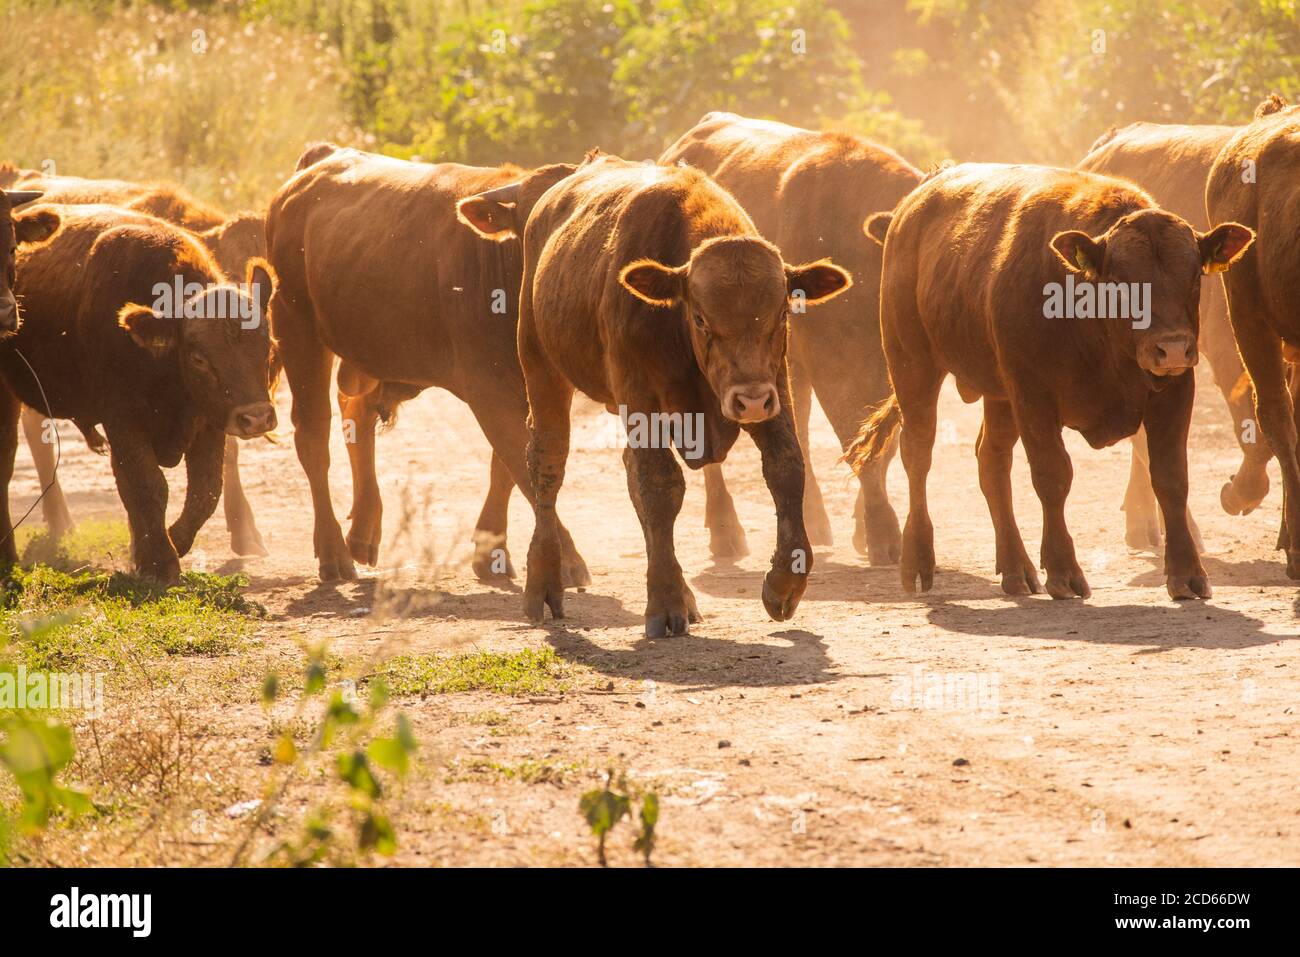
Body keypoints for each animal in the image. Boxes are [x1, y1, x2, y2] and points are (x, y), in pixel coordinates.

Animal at [0, 205, 277, 581]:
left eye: (267, 347)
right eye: (199, 358)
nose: (257, 418)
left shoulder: (207, 423)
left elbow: (204, 491)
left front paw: (166, 545)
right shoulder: (123, 420)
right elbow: (148, 485)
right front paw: (161, 561)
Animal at [264, 144, 590, 585]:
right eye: (529, 225)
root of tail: (325, 157)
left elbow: (508, 463)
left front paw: (492, 550)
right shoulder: (487, 387)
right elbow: (520, 462)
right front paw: (566, 558)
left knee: (356, 415)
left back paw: (363, 531)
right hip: (297, 327)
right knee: (313, 436)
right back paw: (333, 552)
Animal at [457, 152, 851, 635]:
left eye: (780, 313)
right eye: (700, 318)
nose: (751, 401)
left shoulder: (775, 384)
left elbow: (786, 468)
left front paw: (784, 583)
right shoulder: (640, 395)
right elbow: (659, 486)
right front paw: (664, 601)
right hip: (541, 368)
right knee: (547, 465)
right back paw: (546, 582)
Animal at [659, 113, 922, 563]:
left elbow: (877, 444)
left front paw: (864, 526)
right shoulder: (833, 365)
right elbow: (857, 441)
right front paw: (883, 533)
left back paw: (812, 520)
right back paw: (725, 530)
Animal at [846, 164, 1252, 600]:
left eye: (1194, 276)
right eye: (1122, 282)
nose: (1173, 348)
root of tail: (912, 206)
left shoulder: (1174, 392)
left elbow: (1171, 478)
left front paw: (1187, 573)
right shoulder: (1033, 396)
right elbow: (1053, 475)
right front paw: (1063, 570)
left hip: (998, 396)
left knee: (991, 462)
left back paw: (1015, 569)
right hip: (913, 366)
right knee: (917, 454)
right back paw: (918, 560)